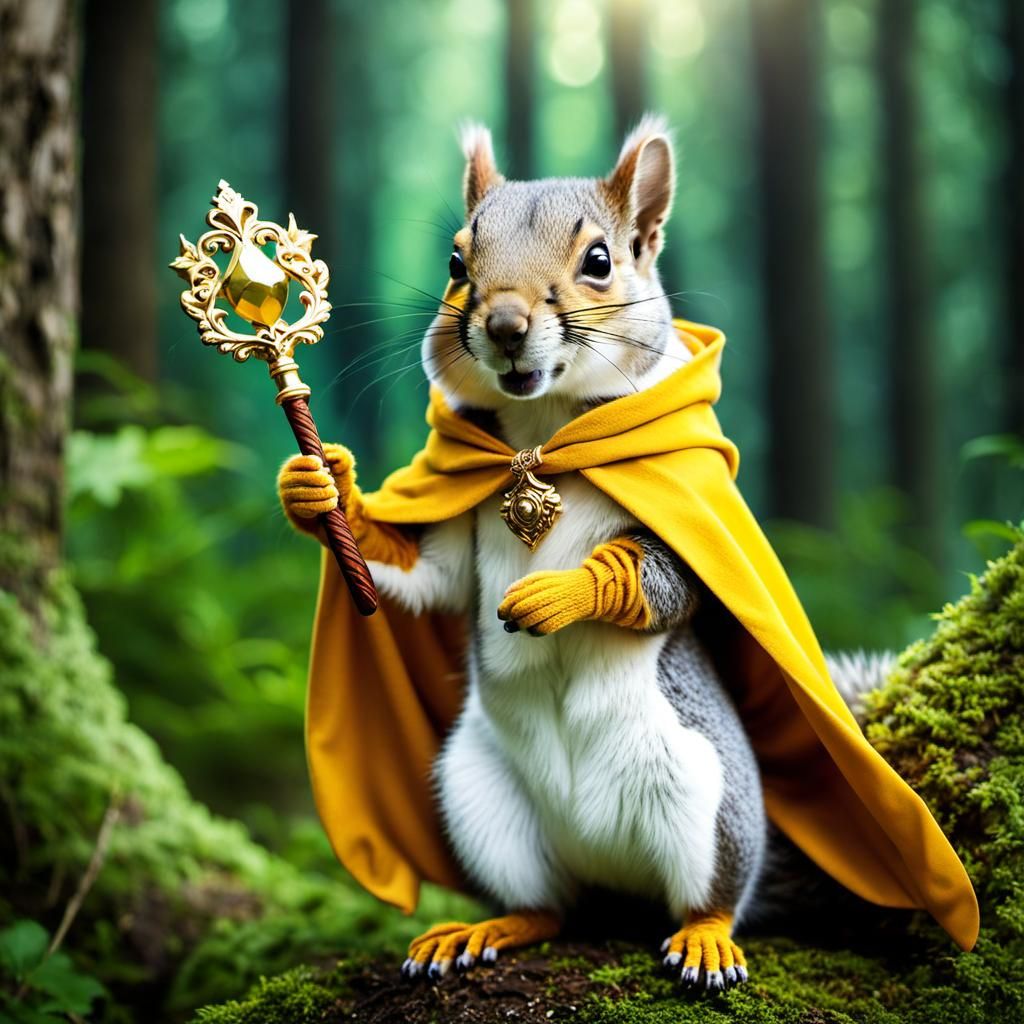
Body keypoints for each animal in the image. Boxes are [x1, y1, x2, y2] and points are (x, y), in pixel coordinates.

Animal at [277, 116, 888, 992]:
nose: (504, 326)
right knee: (548, 907)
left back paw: (705, 938)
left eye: (600, 260)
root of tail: (608, 872)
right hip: (478, 798)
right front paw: (326, 490)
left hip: (707, 791)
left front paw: (560, 594)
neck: (543, 434)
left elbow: (662, 583)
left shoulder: (682, 505)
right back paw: (486, 927)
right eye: (457, 262)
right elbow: (435, 581)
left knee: (711, 892)